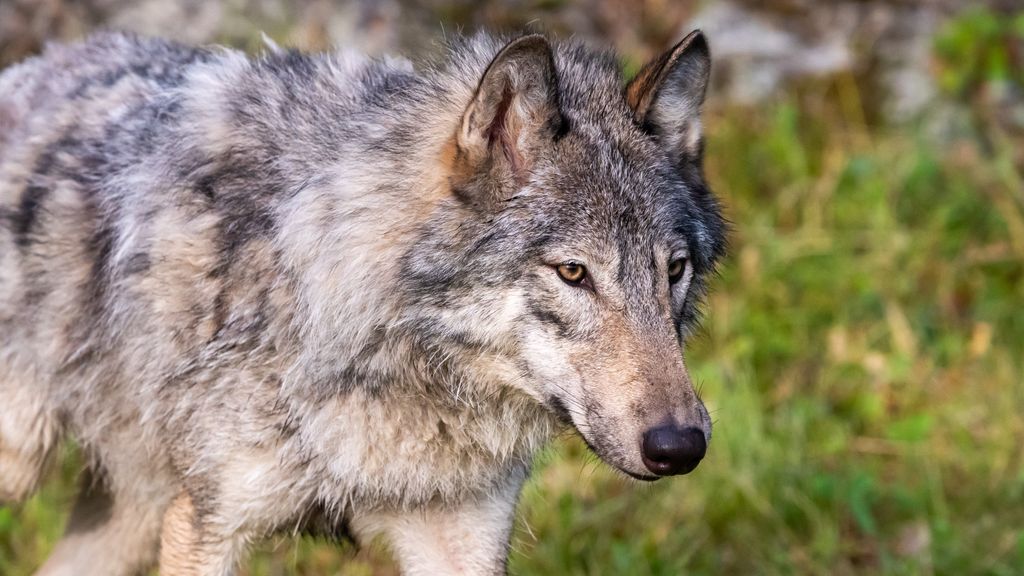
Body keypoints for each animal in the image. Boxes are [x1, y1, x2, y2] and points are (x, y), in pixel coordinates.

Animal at [0, 27, 725, 575]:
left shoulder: (464, 534)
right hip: (30, 464)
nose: (681, 445)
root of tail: (36, 64)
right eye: (573, 272)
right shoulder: (206, 523)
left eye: (674, 270)